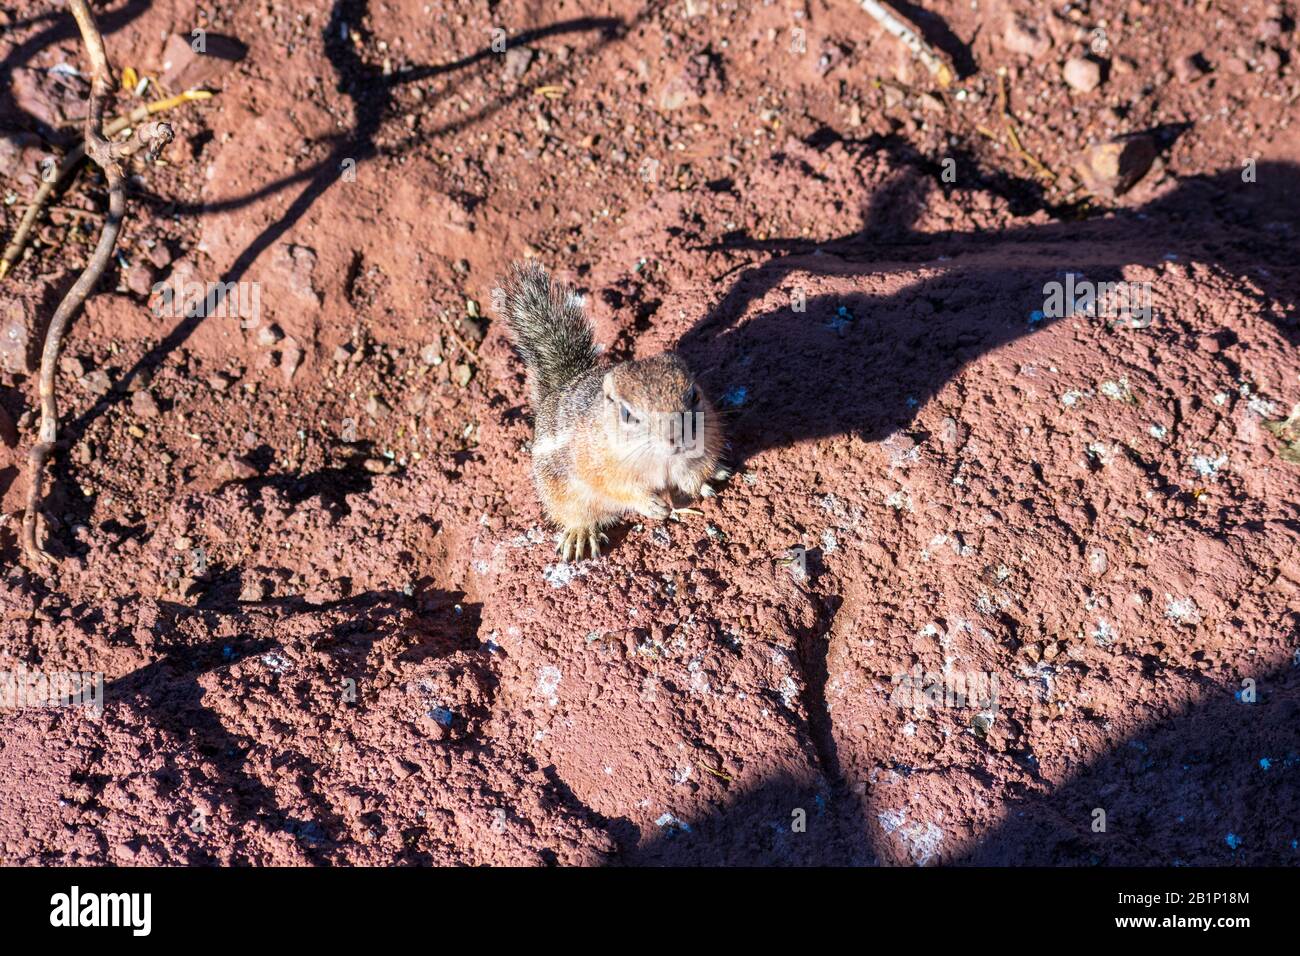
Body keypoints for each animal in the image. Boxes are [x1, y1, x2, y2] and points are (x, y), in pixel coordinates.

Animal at [494, 261, 729, 561]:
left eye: (695, 395)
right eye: (627, 414)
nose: (678, 438)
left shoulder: (708, 439)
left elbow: (698, 468)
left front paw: (695, 484)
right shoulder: (600, 469)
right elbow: (620, 491)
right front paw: (651, 505)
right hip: (561, 493)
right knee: (574, 514)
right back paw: (580, 534)